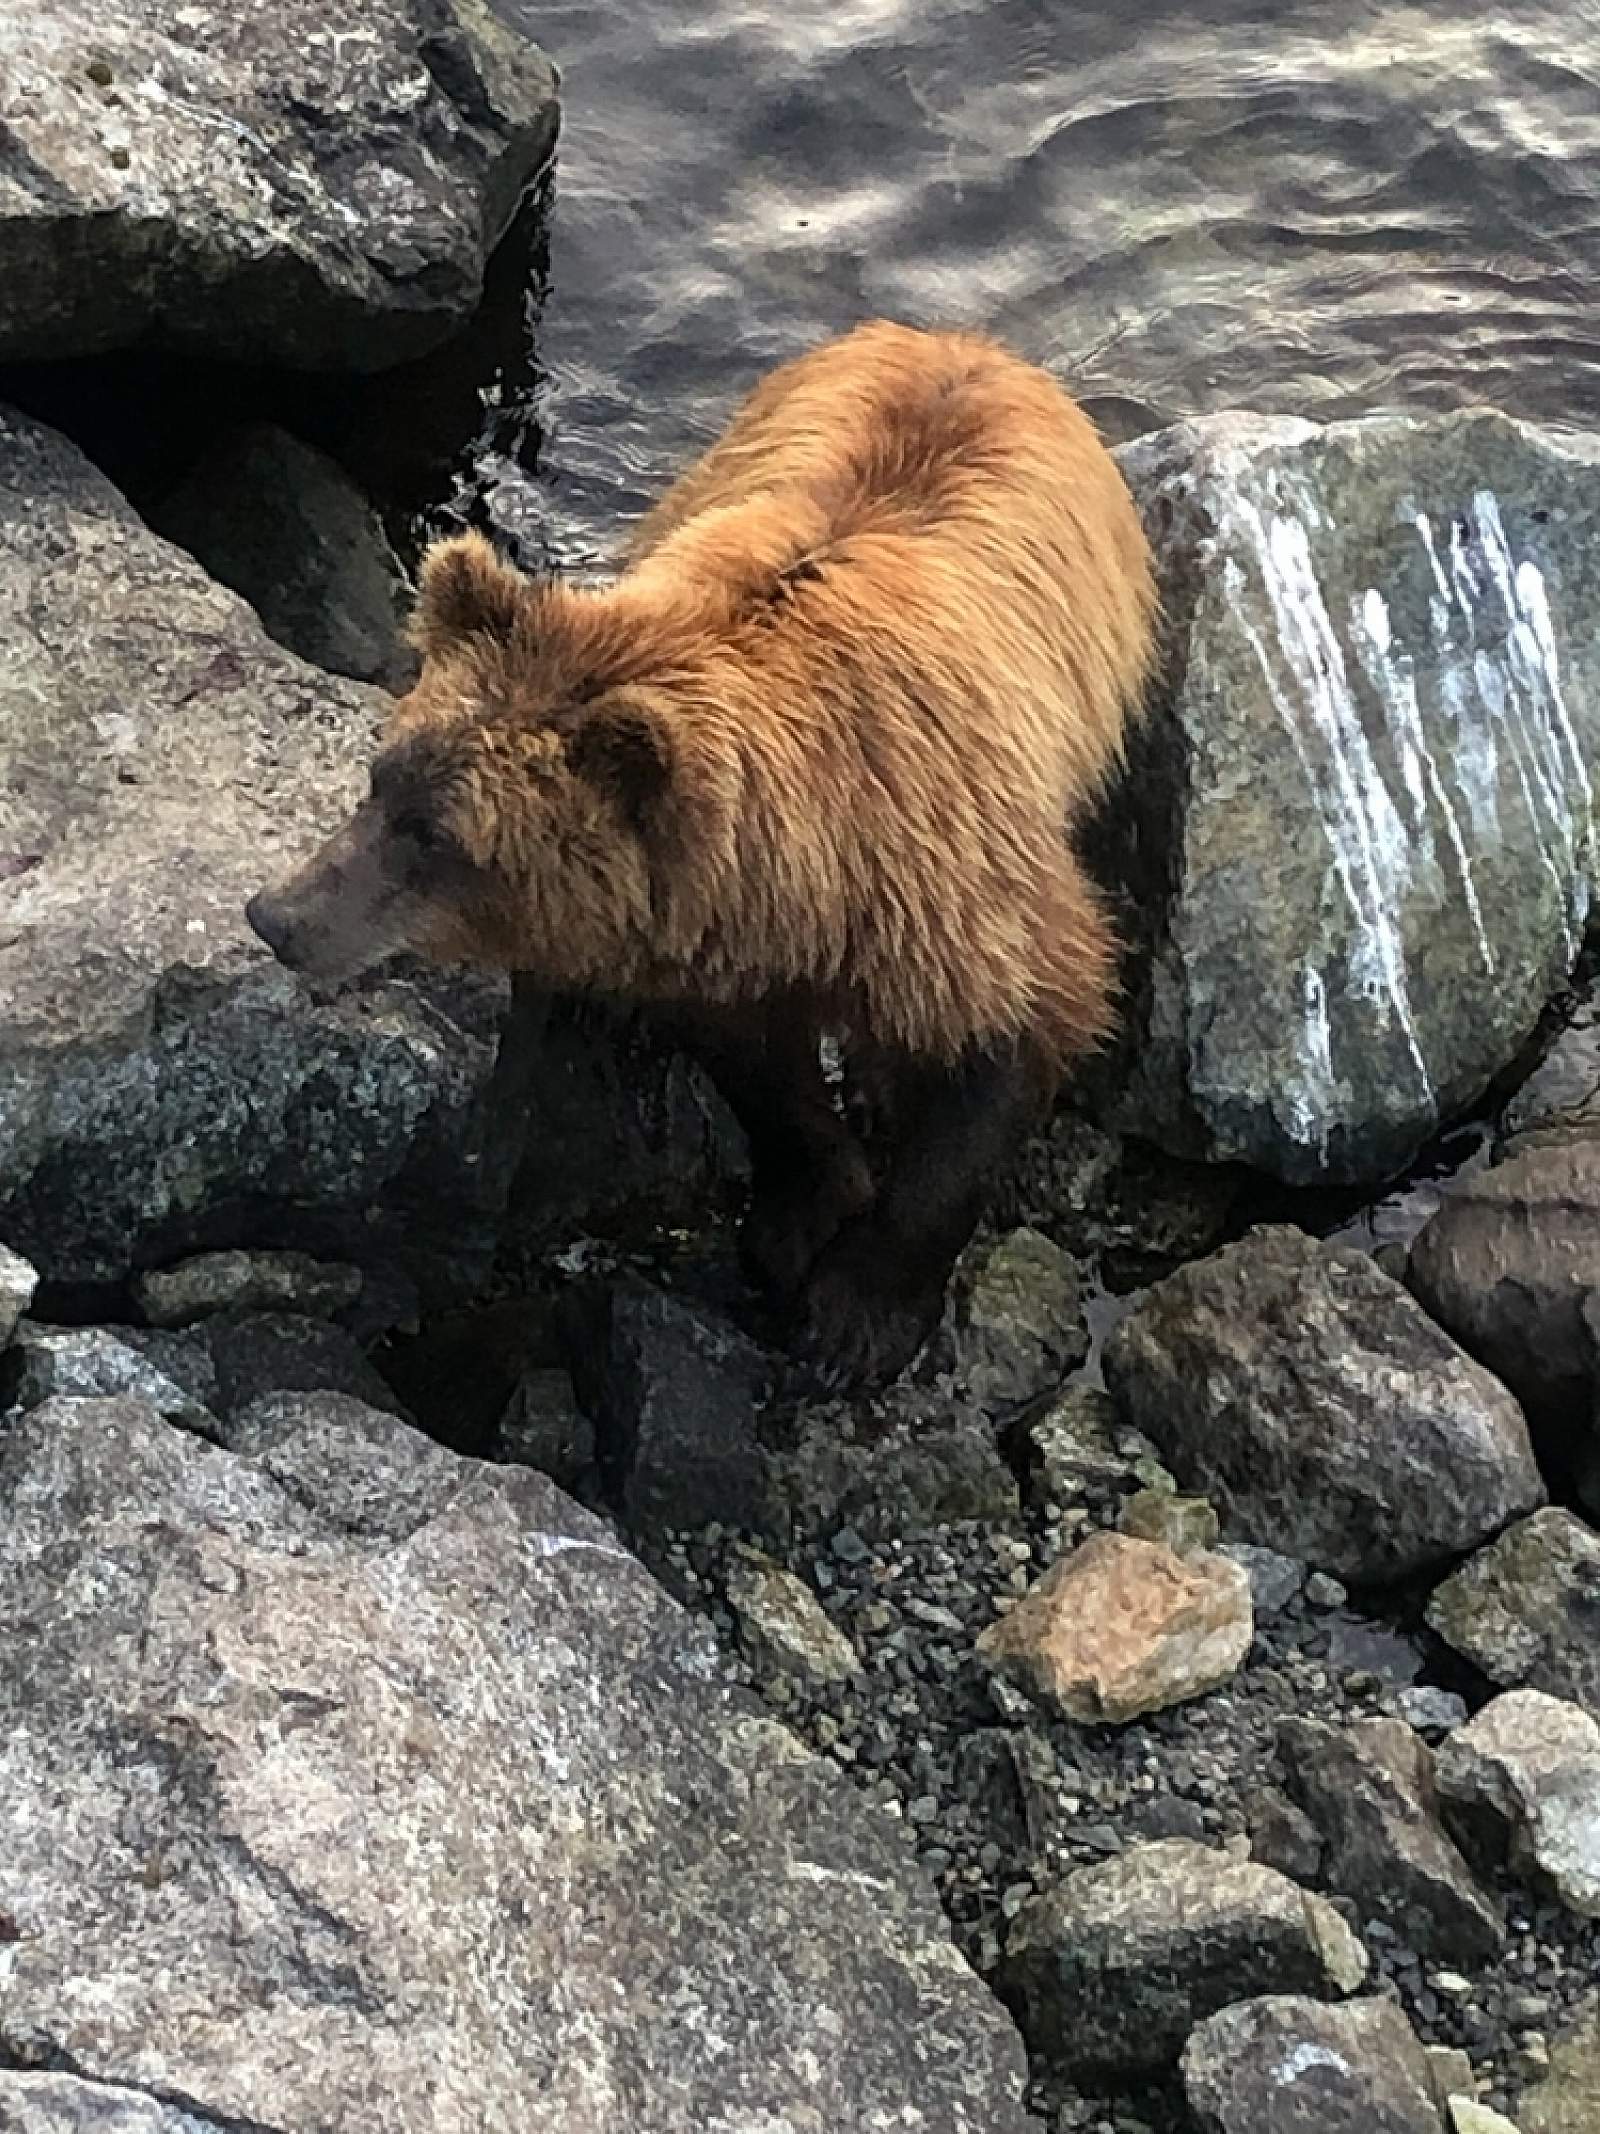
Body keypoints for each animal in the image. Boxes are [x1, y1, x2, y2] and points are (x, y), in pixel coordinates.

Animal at [246, 320, 1157, 1391]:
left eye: (440, 838)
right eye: (378, 777)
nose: (280, 916)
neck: (816, 853)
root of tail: (964, 340)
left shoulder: (948, 879)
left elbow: (1011, 1042)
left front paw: (857, 1313)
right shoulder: (712, 918)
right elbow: (756, 1064)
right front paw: (805, 1206)